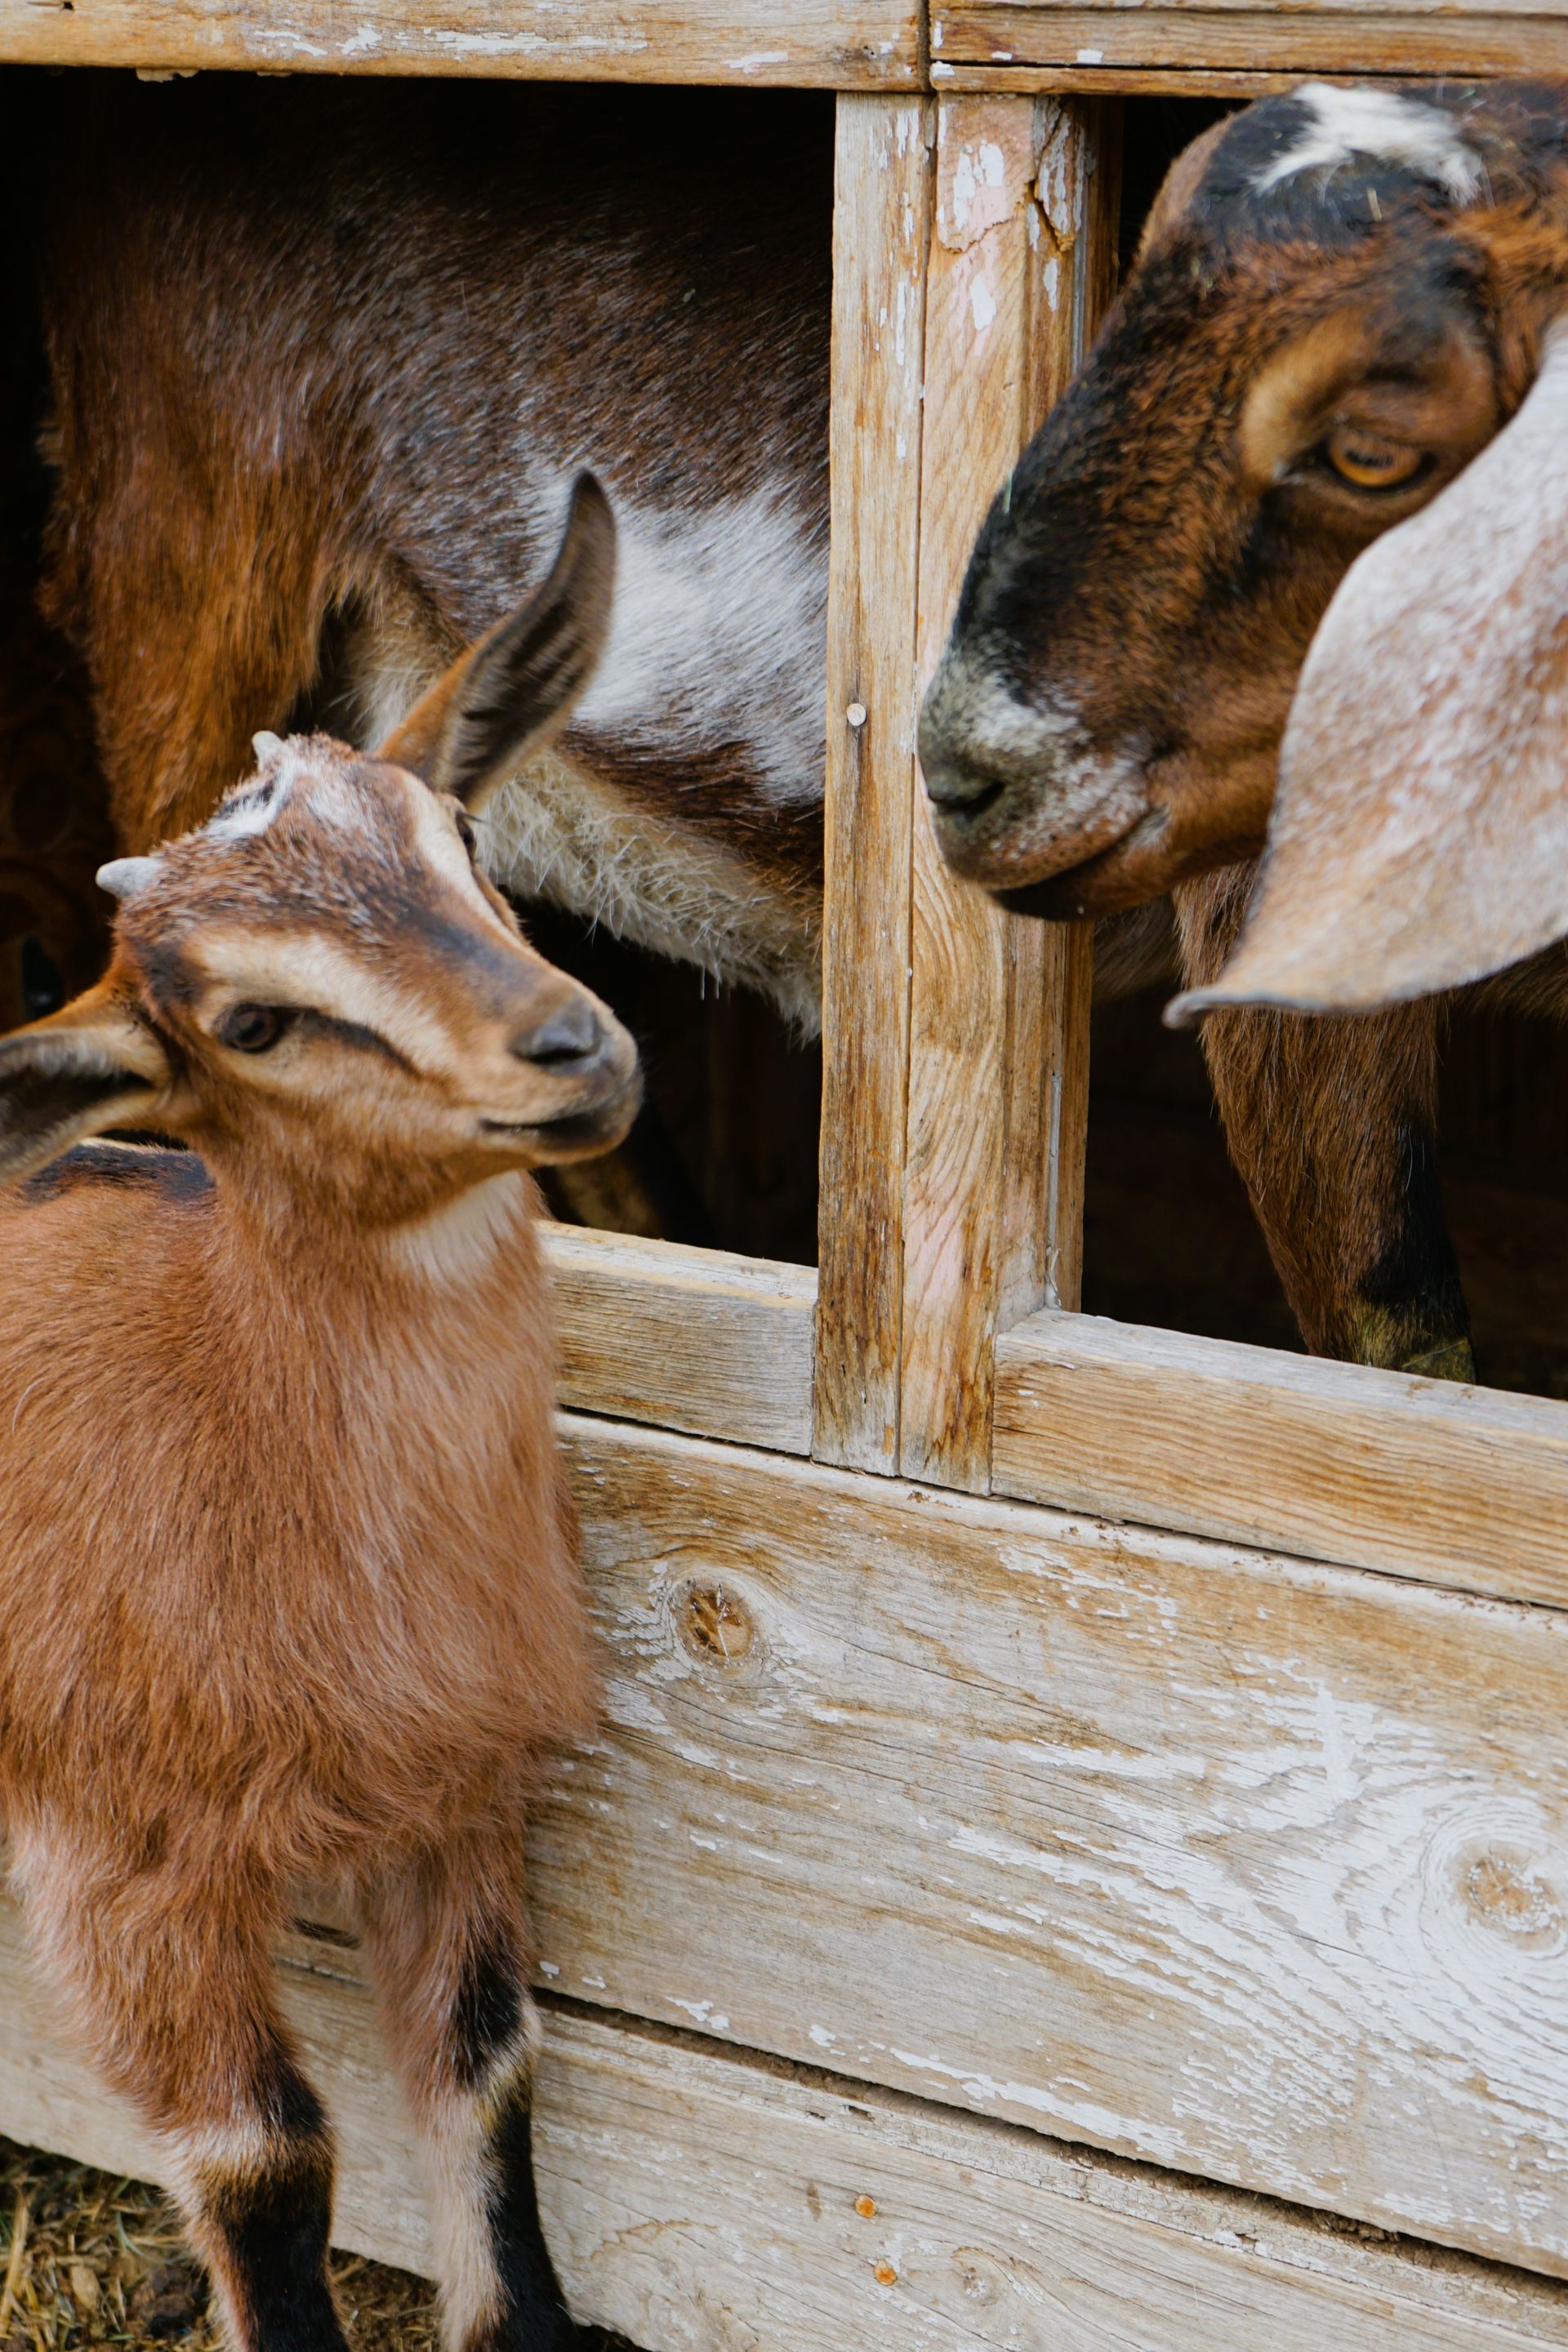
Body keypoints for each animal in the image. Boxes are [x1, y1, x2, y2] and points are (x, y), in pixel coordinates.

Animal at [0, 479, 641, 2352]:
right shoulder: (116, 1866)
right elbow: (265, 2166)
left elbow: (488, 2076)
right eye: (254, 1020)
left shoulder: (458, 1798)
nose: (571, 1047)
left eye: (463, 834)